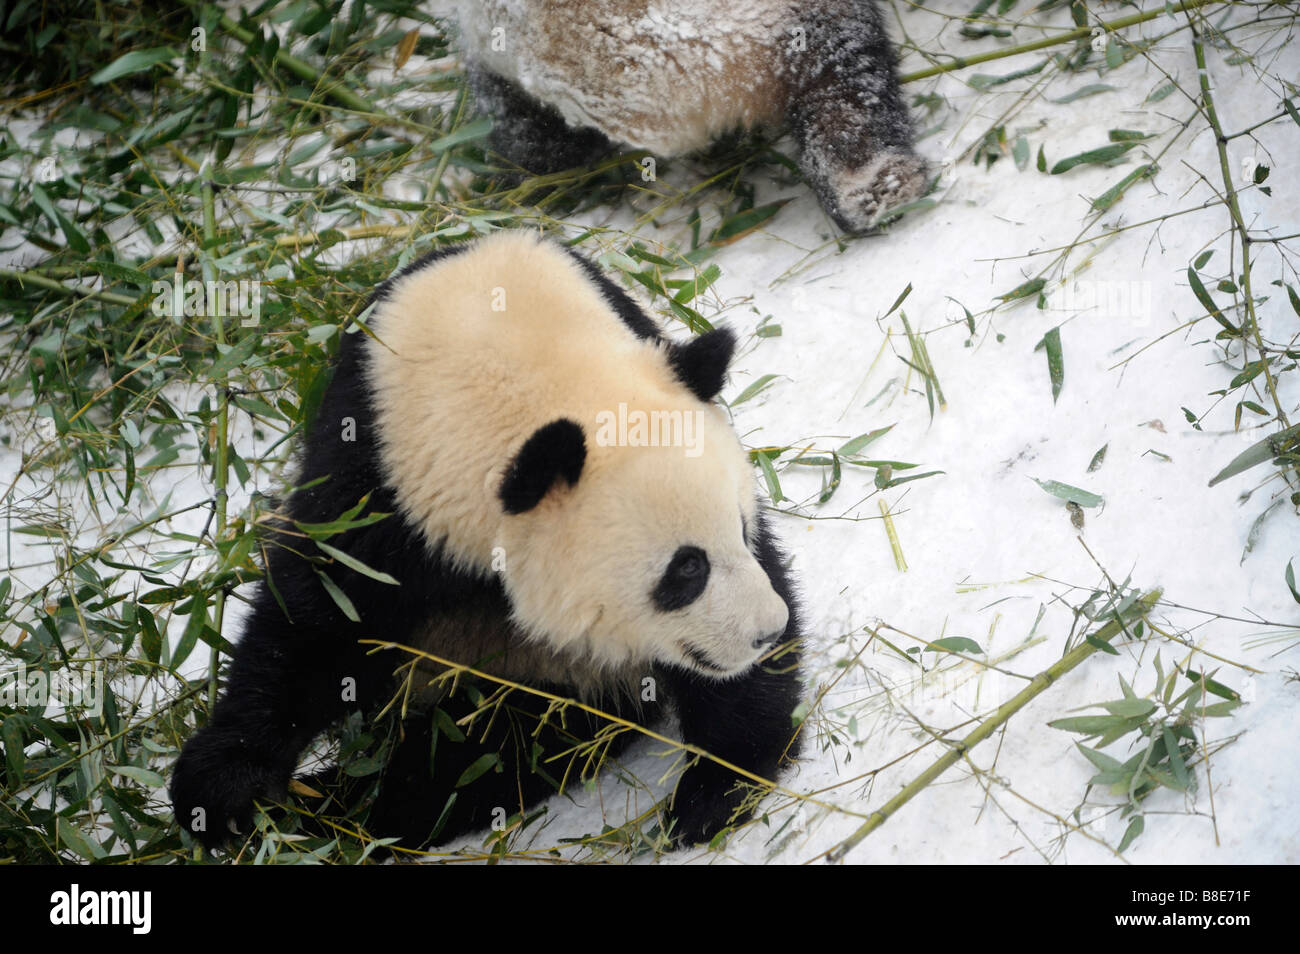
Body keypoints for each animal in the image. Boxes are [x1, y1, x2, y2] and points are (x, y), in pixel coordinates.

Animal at [169, 230, 804, 852]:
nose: (765, 632)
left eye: (741, 529)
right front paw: (222, 791)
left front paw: (711, 791)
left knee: (490, 751)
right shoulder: (375, 476)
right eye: (685, 570)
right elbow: (313, 619)